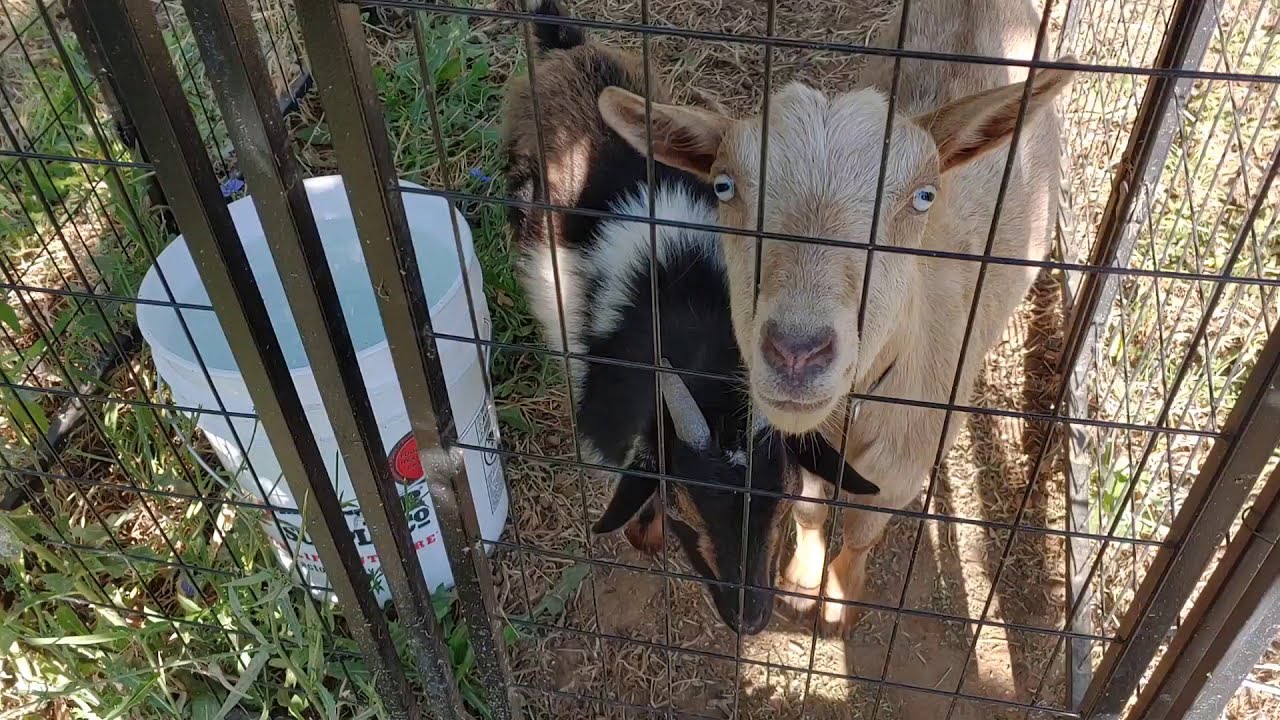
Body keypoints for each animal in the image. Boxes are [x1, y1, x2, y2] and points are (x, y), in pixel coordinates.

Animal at [501, 0, 880, 635]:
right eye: (687, 505)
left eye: (780, 494)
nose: (750, 620)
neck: (704, 346)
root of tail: (567, 48)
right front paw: (647, 534)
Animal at [597, 0, 1077, 633]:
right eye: (724, 186)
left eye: (923, 196)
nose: (796, 353)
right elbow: (806, 505)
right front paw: (803, 582)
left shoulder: (906, 463)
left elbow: (865, 527)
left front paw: (841, 601)